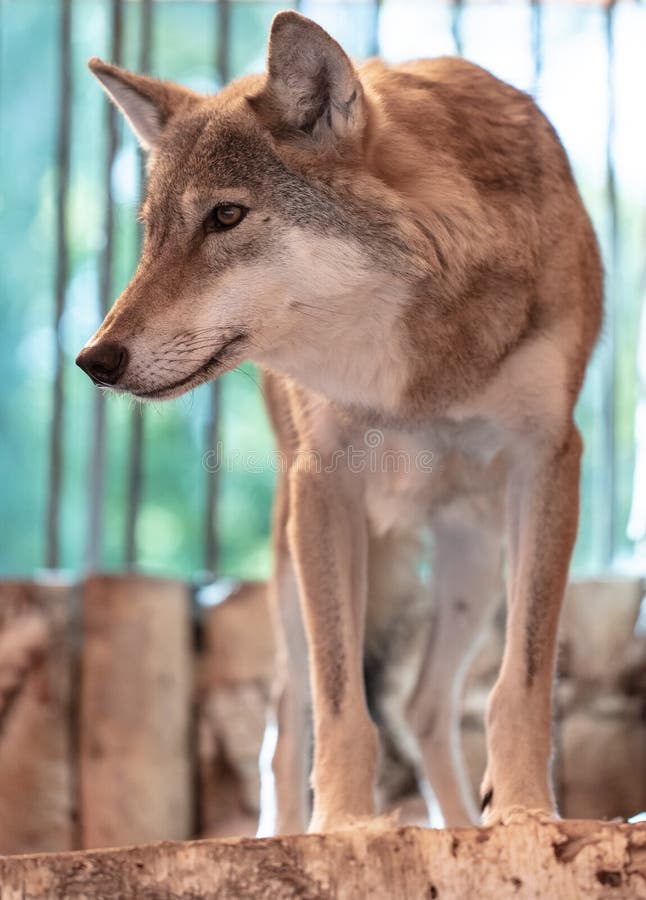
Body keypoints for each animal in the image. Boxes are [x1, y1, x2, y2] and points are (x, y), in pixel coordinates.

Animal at [77, 11, 602, 833]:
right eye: (152, 231)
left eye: (225, 216)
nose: (93, 359)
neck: (422, 364)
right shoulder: (326, 485)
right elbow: (338, 702)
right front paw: (344, 828)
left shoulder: (548, 460)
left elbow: (521, 683)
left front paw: (523, 814)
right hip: (295, 559)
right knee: (285, 721)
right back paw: (284, 831)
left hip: (476, 560)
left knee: (423, 709)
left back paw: (462, 825)